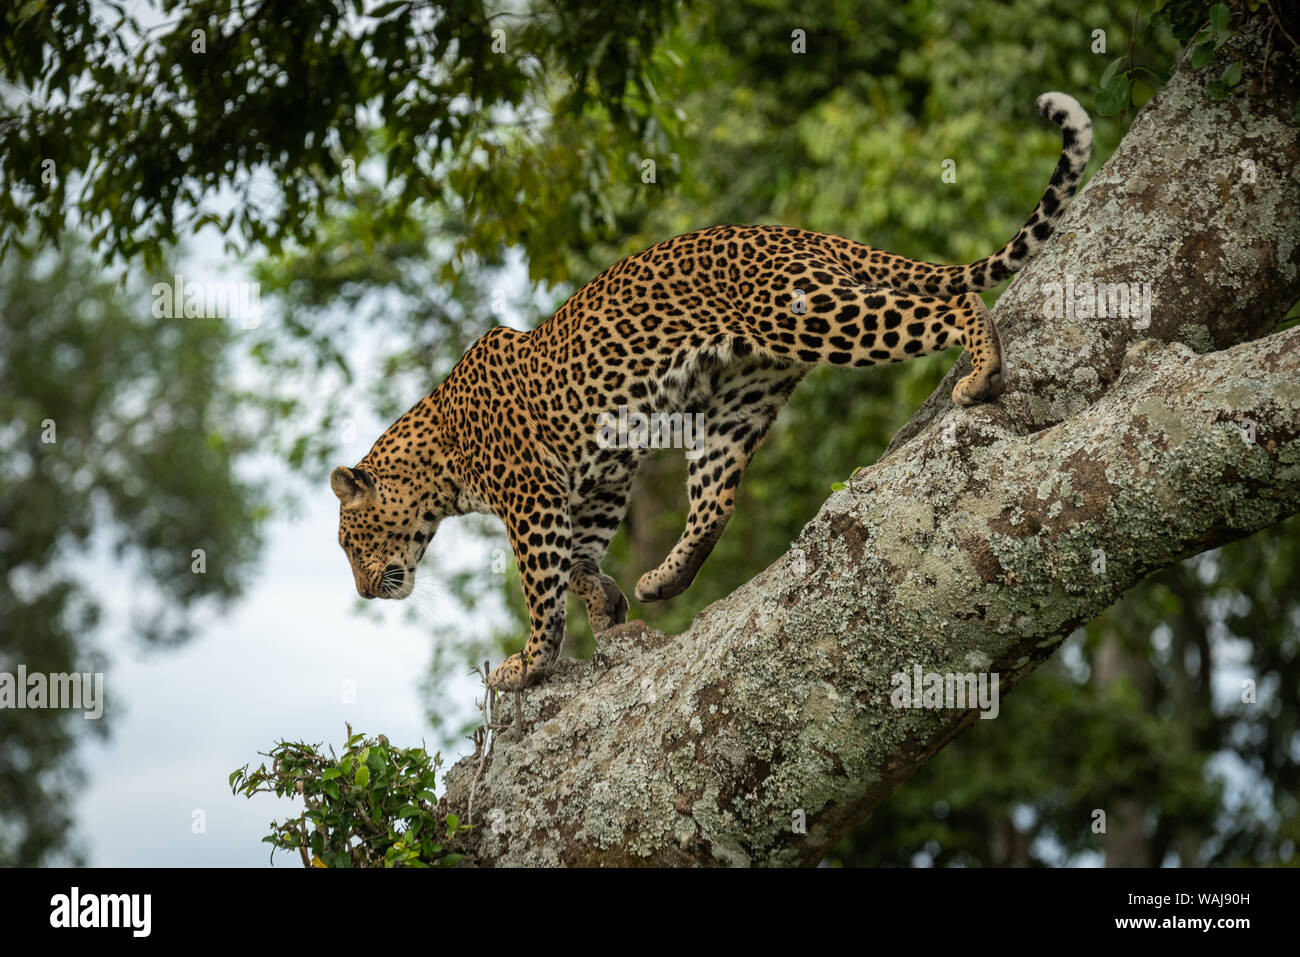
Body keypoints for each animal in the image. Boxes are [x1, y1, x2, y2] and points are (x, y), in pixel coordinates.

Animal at [331, 92, 1093, 692]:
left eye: (349, 540)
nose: (365, 592)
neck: (440, 459)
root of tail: (793, 231)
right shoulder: (601, 477)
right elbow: (579, 557)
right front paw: (604, 602)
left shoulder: (531, 496)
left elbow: (540, 583)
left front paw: (528, 663)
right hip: (741, 396)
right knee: (715, 499)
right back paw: (664, 579)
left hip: (815, 317)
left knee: (955, 300)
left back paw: (983, 371)